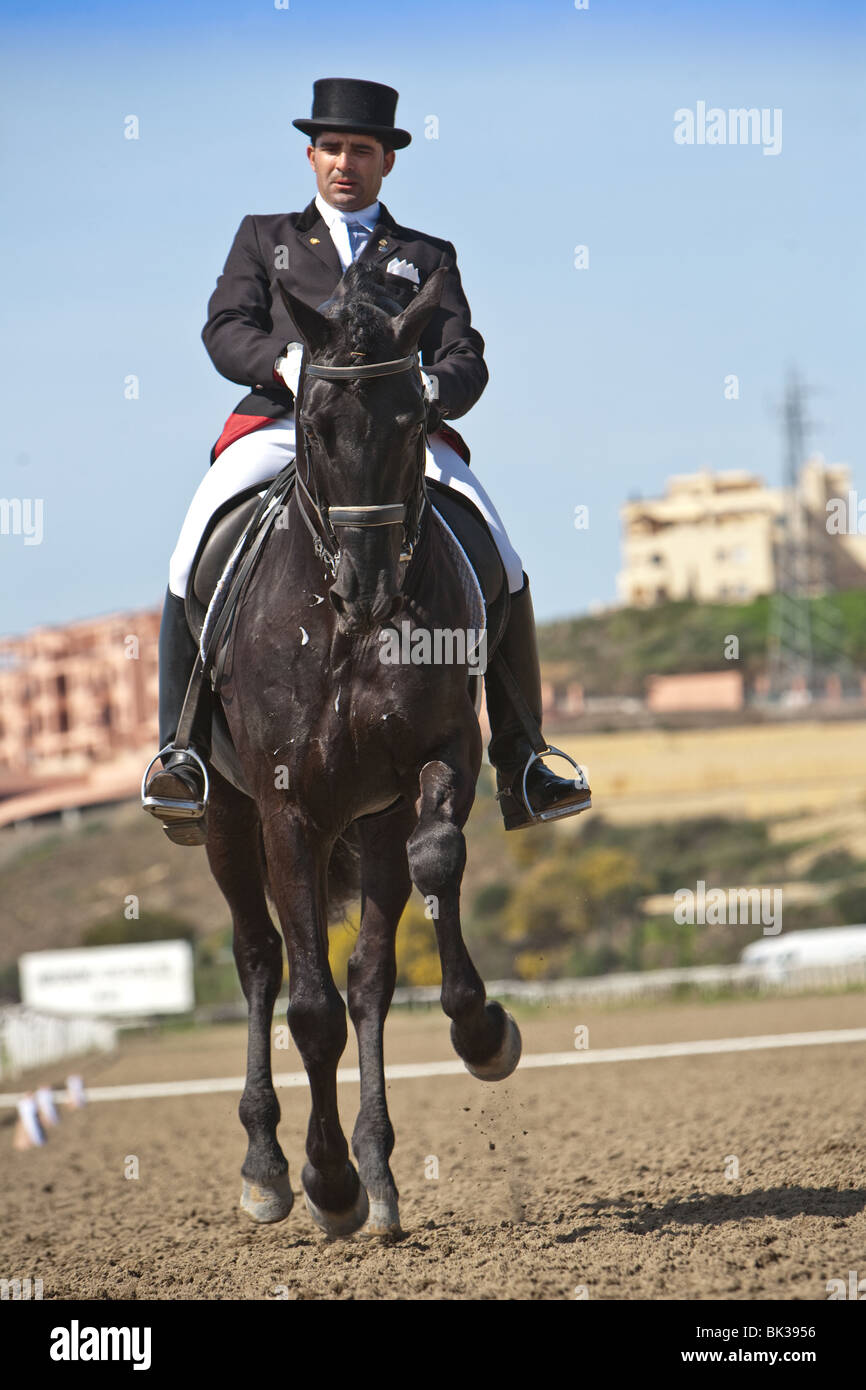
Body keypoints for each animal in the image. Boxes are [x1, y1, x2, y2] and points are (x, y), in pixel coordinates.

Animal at [203, 261, 521, 1239]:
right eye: (313, 423)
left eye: (415, 420)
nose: (369, 587)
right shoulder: (283, 808)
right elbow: (308, 1007)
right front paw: (325, 1180)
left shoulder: (439, 756)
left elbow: (438, 857)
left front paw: (479, 1029)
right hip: (227, 820)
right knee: (261, 959)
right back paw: (270, 1168)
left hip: (369, 820)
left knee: (369, 979)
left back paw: (379, 1174)